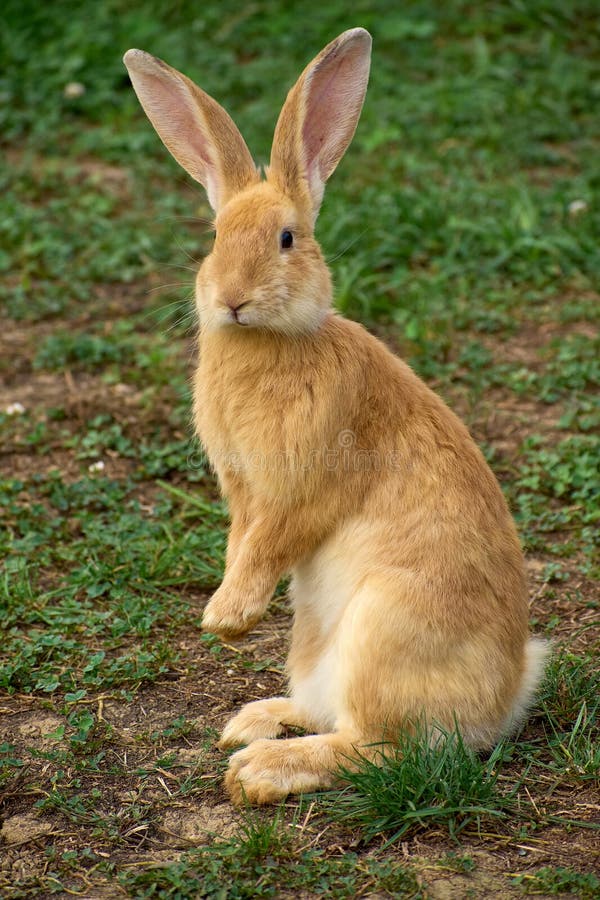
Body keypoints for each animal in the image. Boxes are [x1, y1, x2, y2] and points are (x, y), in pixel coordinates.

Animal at [123, 28, 548, 805]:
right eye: (215, 234)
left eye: (287, 238)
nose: (232, 299)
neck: (270, 343)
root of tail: (505, 700)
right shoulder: (243, 492)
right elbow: (241, 542)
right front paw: (227, 618)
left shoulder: (303, 484)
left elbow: (269, 542)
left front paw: (224, 620)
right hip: (315, 639)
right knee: (327, 713)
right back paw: (252, 721)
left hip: (382, 629)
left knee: (375, 748)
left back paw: (259, 769)